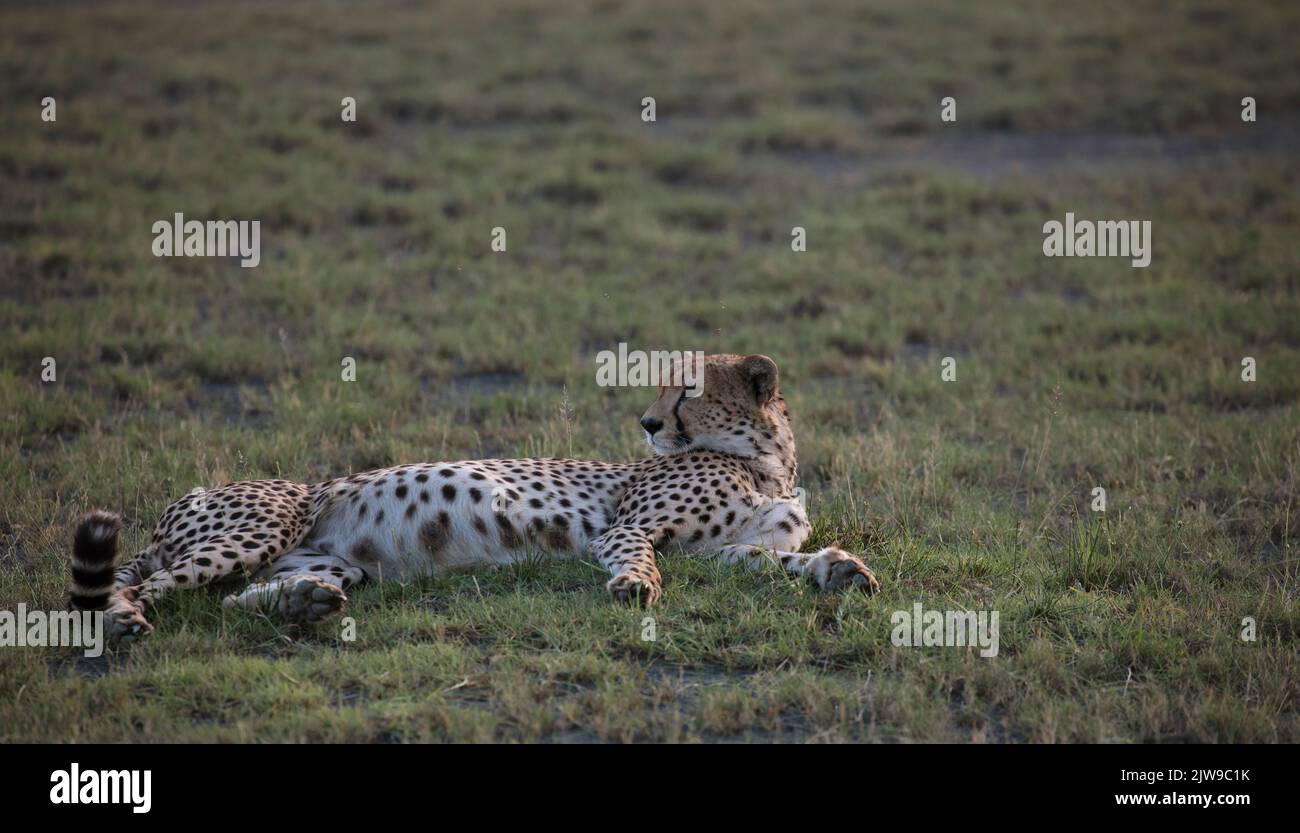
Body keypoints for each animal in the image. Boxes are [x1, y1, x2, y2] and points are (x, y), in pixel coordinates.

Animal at [68, 353, 881, 640]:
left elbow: (774, 563)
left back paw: (303, 604)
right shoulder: (623, 528)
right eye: (664, 388)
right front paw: (632, 587)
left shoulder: (723, 553)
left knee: (230, 602)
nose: (648, 423)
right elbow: (640, 557)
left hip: (330, 559)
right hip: (260, 525)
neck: (766, 464)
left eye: (687, 390)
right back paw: (124, 621)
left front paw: (838, 569)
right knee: (143, 587)